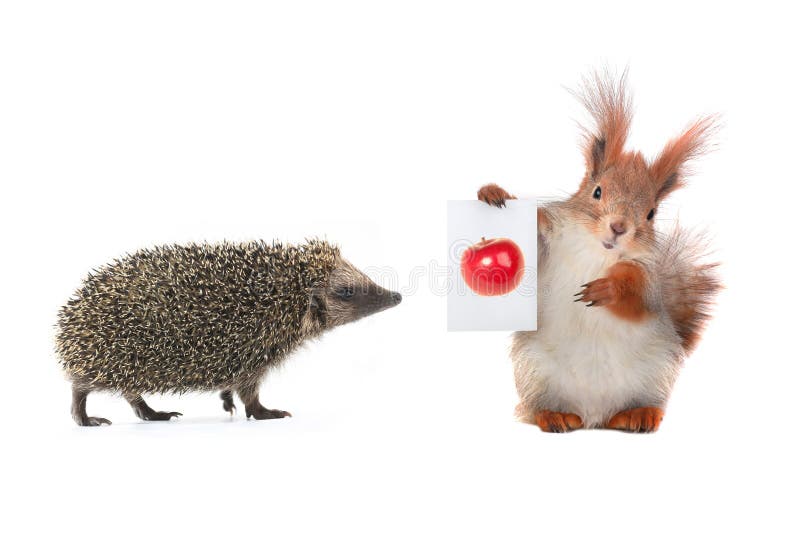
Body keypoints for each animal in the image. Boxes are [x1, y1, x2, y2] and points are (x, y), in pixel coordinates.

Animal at [478, 71, 720, 432]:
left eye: (651, 213)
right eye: (596, 191)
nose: (619, 227)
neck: (596, 252)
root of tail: (593, 416)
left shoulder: (649, 277)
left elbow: (637, 294)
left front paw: (608, 288)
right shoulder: (549, 244)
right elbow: (533, 238)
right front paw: (494, 192)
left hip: (653, 375)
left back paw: (637, 414)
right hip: (536, 375)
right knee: (538, 409)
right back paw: (555, 416)